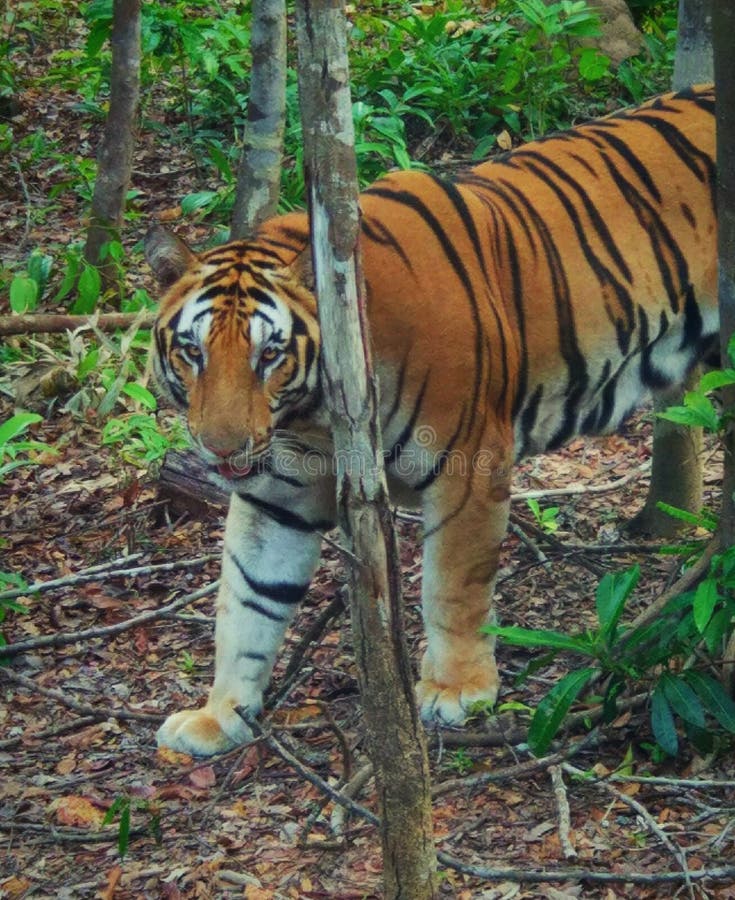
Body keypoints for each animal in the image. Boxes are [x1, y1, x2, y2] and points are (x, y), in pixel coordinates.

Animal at [146, 84, 717, 756]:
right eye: (194, 352)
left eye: (269, 355)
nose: (222, 447)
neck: (312, 422)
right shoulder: (274, 496)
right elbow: (247, 601)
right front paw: (219, 715)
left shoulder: (467, 466)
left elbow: (452, 588)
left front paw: (456, 691)